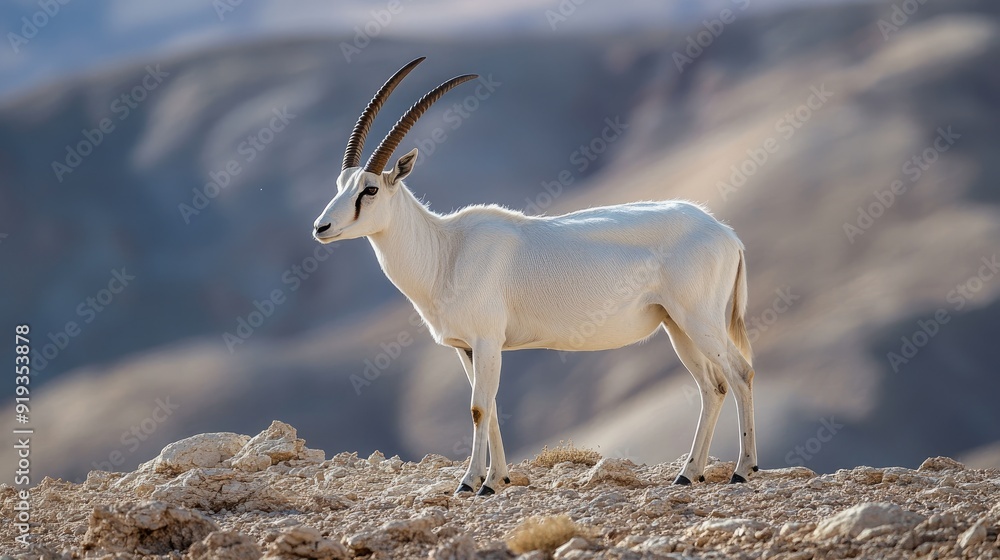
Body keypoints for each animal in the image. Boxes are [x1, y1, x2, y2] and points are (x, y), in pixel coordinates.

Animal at [313, 57, 758, 495]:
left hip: (699, 321)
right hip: (677, 326)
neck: (448, 250)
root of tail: (727, 234)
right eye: (340, 184)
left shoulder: (487, 341)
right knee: (712, 387)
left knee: (739, 373)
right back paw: (689, 473)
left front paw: (471, 483)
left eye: (370, 190)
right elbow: (491, 407)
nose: (321, 228)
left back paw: (742, 470)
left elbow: (478, 407)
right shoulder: (468, 348)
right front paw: (497, 479)